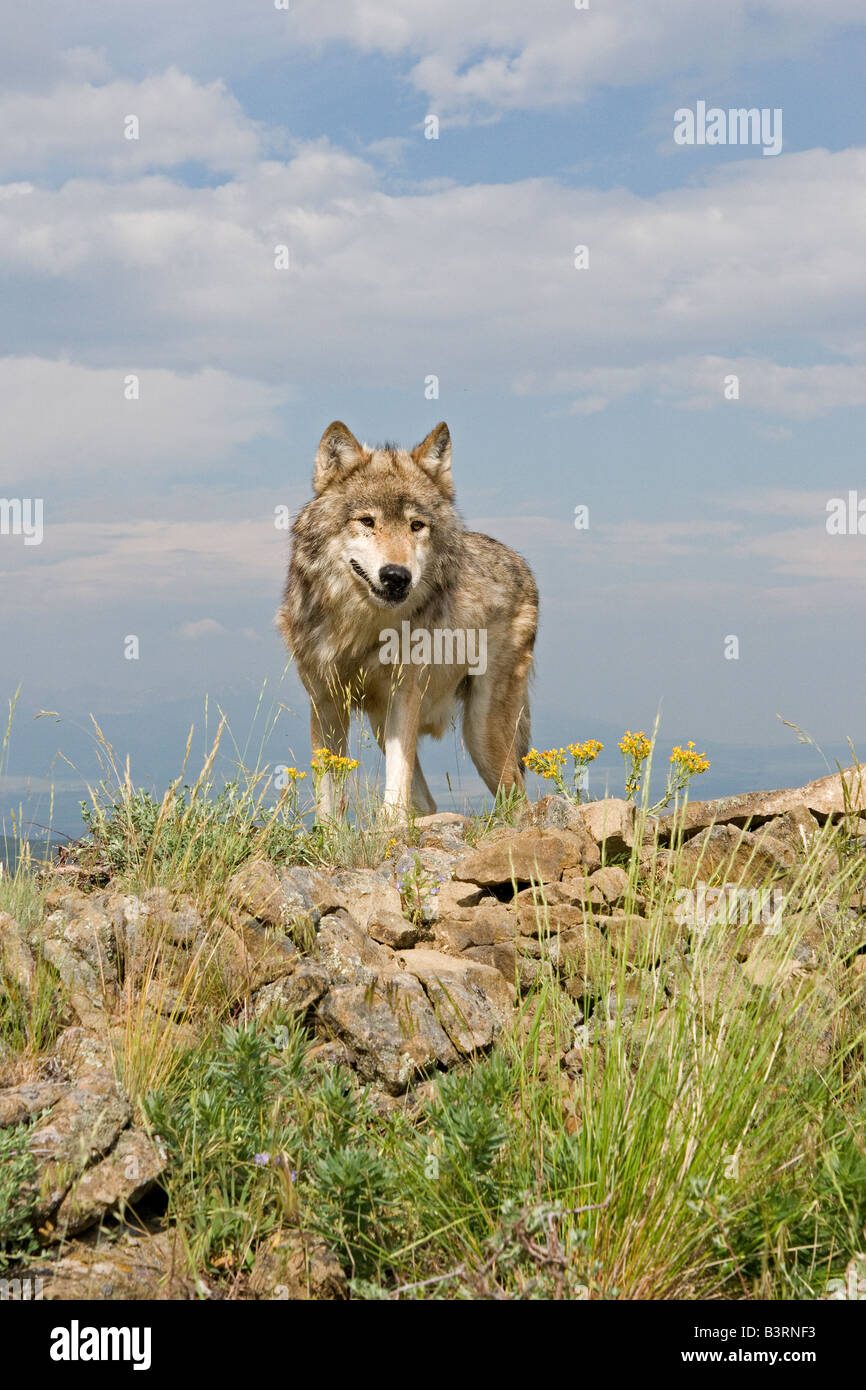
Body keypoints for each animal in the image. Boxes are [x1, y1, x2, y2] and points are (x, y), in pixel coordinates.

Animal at [276, 421, 538, 818]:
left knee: (518, 797)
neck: (360, 628)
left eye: (416, 526)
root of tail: (522, 566)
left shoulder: (405, 697)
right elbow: (328, 795)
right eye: (367, 521)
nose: (396, 576)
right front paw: (330, 832)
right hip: (382, 724)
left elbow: (395, 783)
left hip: (481, 733)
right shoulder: (325, 702)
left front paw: (389, 827)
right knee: (429, 802)